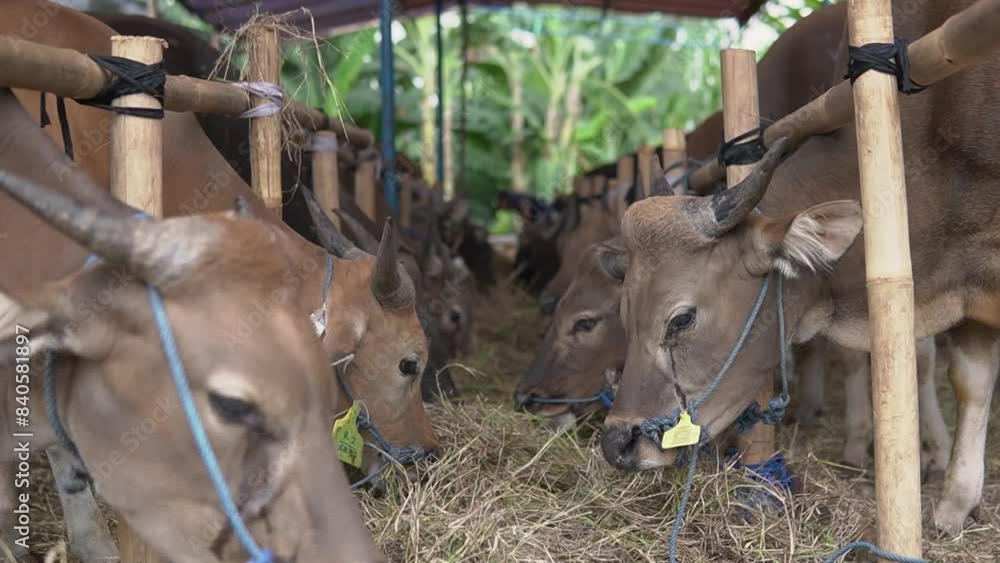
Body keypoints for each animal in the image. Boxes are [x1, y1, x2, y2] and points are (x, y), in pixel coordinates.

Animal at [599, 0, 1000, 535]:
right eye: (624, 312)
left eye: (682, 318)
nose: (616, 442)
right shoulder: (970, 289)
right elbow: (971, 381)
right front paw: (957, 501)